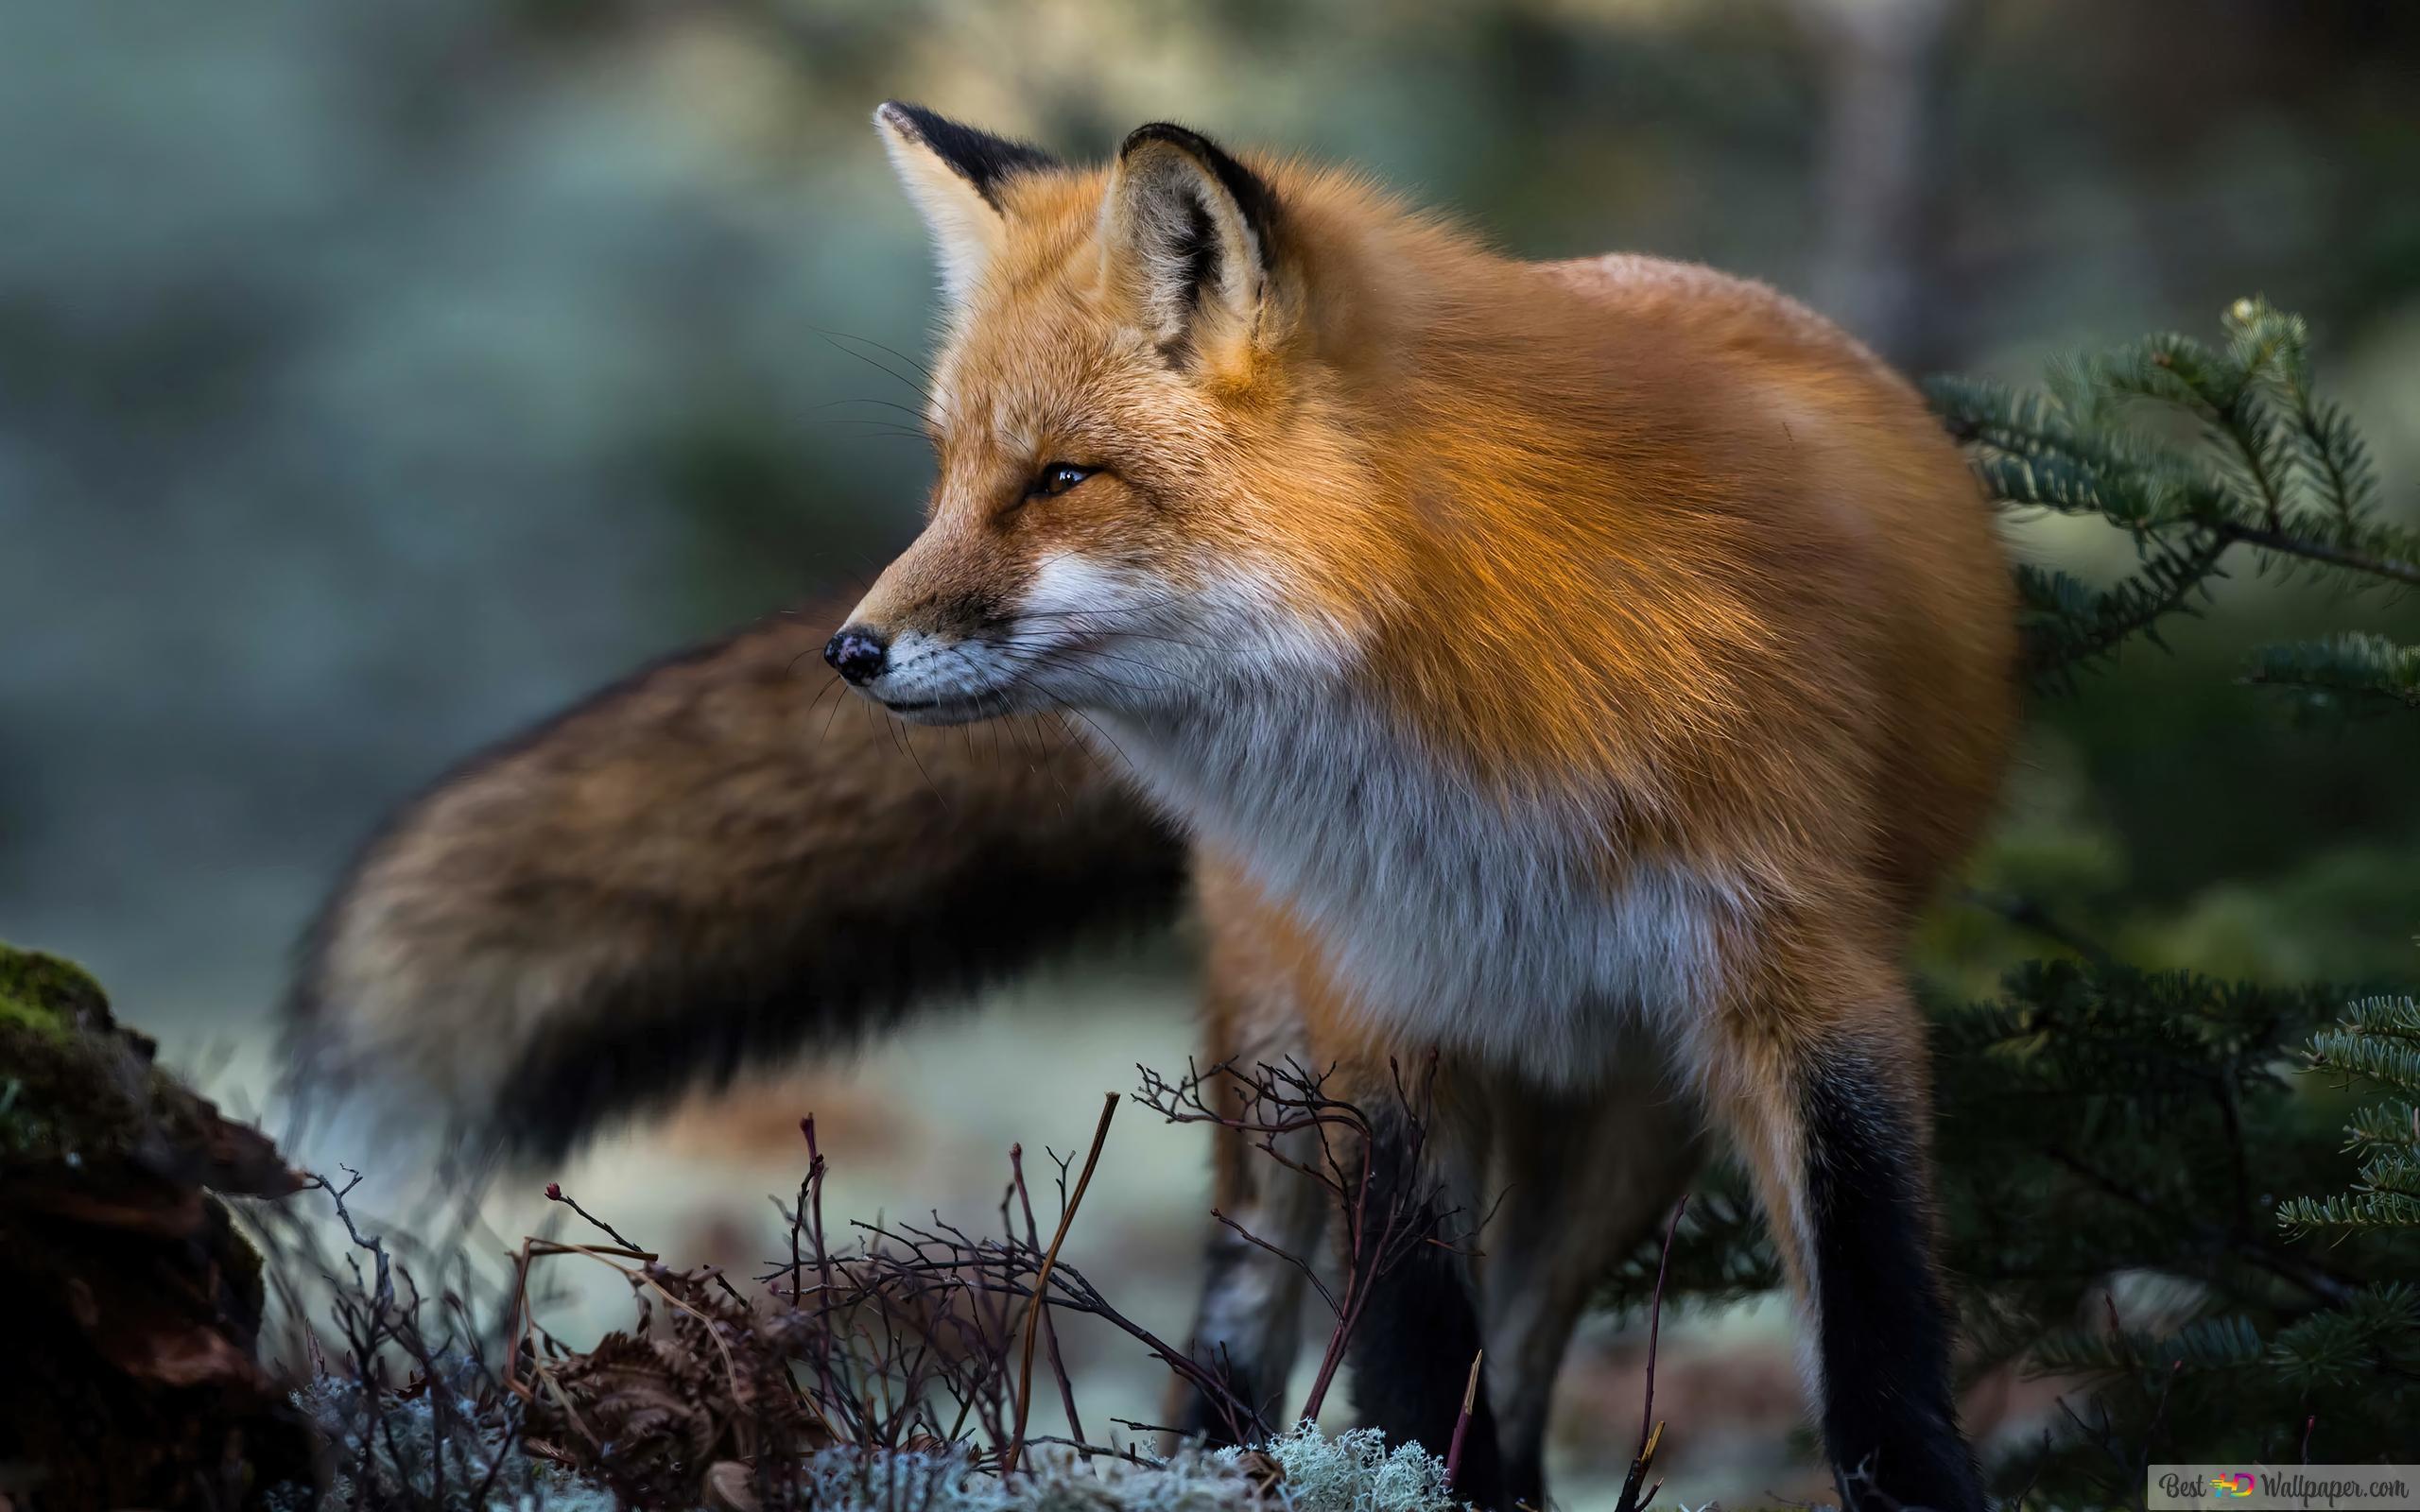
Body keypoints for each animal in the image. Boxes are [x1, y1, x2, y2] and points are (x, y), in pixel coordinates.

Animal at [288, 104, 2019, 1510]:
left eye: (1060, 479)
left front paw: (1915, 1483)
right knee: (1250, 1308)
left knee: (1529, 1347)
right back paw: (1213, 1461)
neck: (1479, 757)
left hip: (1628, 1112)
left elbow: (1868, 1312)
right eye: (945, 474)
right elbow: (1411, 1346)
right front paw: (1415, 1483)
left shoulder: (1805, 976)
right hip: (1278, 1050)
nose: (850, 651)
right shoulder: (1382, 1007)